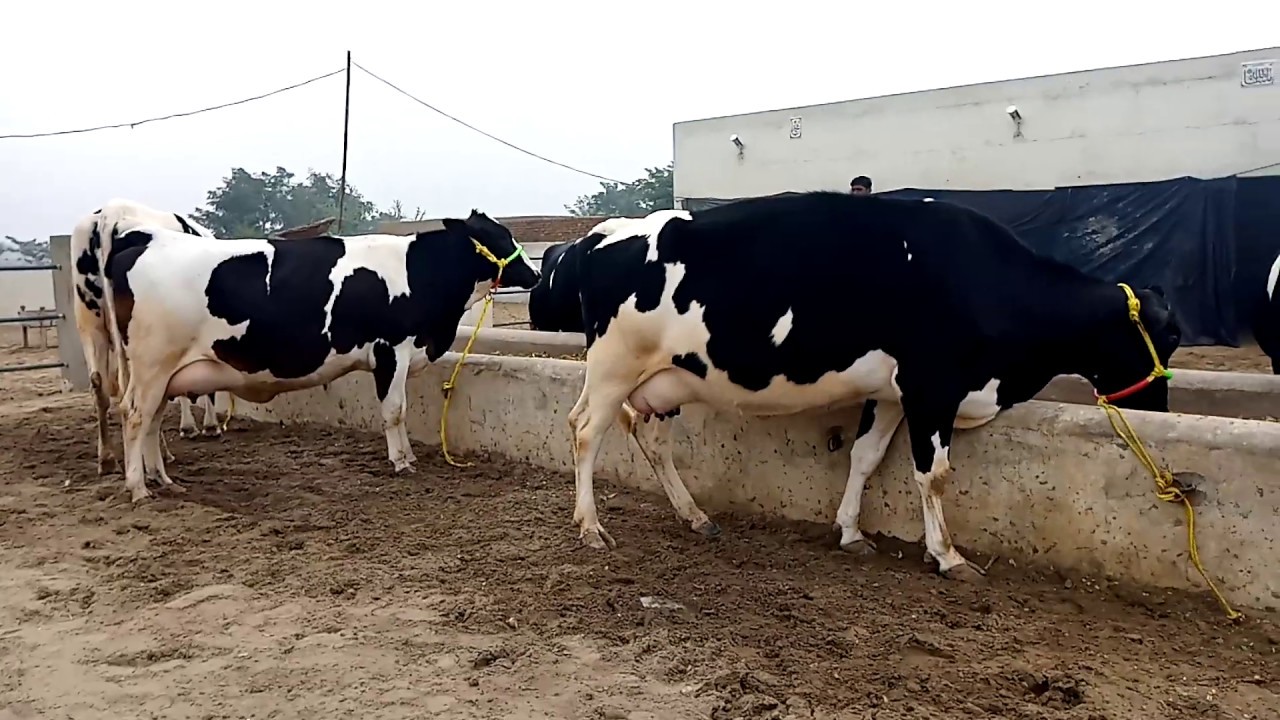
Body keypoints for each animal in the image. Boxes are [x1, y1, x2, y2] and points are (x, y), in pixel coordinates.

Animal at [101, 210, 539, 502]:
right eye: (499, 237)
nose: (535, 274)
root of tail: (143, 241)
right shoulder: (391, 350)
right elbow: (394, 411)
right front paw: (401, 461)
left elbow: (399, 411)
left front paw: (408, 455)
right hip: (152, 364)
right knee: (135, 416)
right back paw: (137, 487)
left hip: (161, 373)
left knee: (152, 419)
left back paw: (161, 479)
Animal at [565, 191, 1181, 582]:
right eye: (1169, 335)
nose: (1158, 409)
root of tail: (607, 232)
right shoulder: (933, 385)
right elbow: (934, 475)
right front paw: (948, 556)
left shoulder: (890, 393)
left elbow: (864, 457)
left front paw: (850, 531)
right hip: (614, 365)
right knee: (586, 430)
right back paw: (591, 527)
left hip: (666, 381)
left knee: (649, 438)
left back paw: (694, 516)